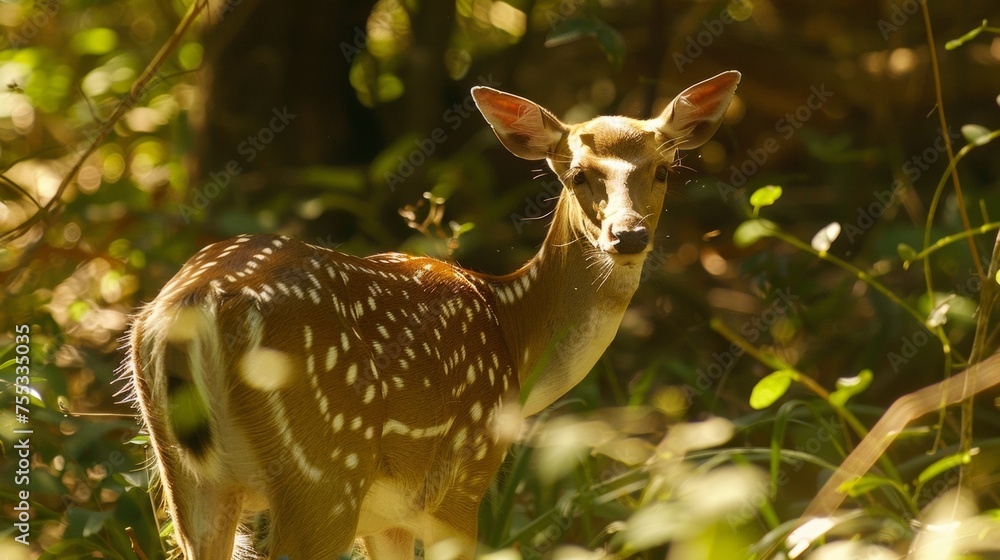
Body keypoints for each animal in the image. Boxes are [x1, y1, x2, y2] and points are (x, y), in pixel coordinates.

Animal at [125, 70, 740, 559]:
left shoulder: (387, 517)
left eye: (662, 170)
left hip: (188, 477)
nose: (627, 235)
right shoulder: (463, 483)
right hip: (323, 472)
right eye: (577, 174)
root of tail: (199, 304)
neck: (513, 338)